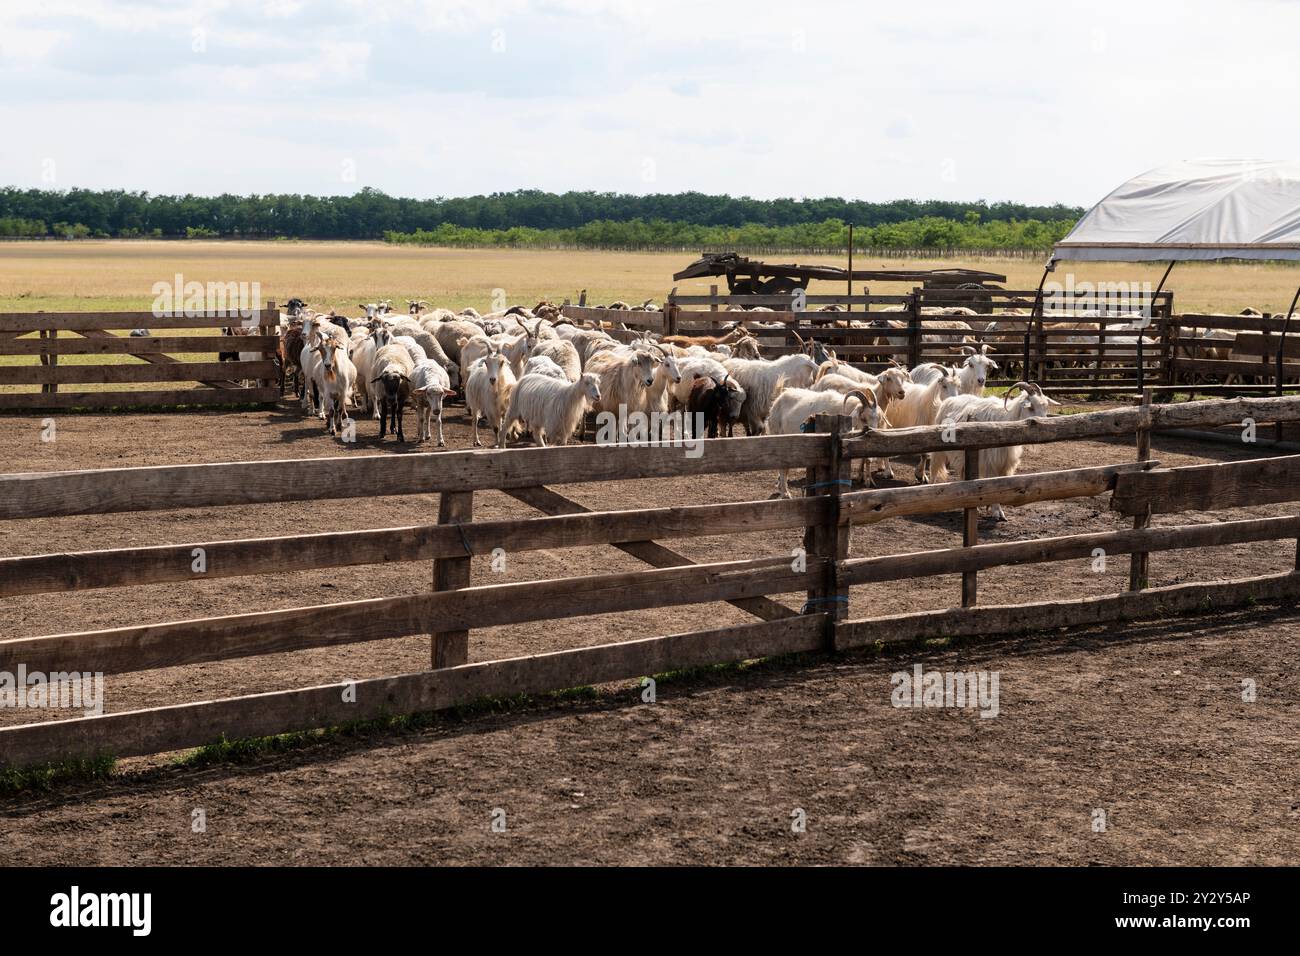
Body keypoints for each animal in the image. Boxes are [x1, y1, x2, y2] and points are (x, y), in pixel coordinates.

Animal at [931, 381, 1061, 520]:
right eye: (1031, 408)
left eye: (1046, 407)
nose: (1047, 425)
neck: (1007, 421)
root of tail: (949, 400)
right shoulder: (992, 463)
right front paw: (997, 512)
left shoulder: (1005, 463)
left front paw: (994, 509)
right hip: (939, 449)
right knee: (934, 469)